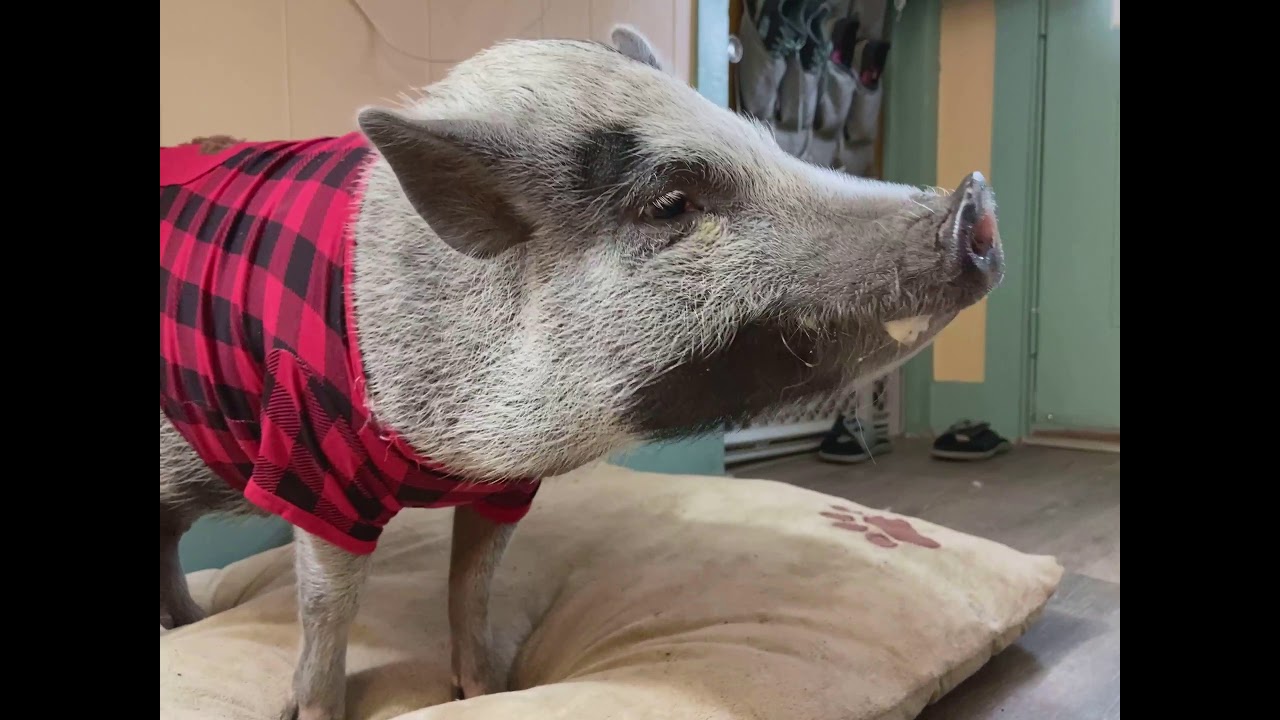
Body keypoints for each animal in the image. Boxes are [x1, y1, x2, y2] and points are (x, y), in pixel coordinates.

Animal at [158, 26, 1003, 720]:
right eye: (671, 204)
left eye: (767, 142)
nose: (975, 202)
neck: (447, 457)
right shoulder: (314, 465)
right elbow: (327, 609)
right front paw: (317, 709)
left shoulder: (502, 488)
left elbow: (472, 589)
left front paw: (485, 691)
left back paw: (189, 624)